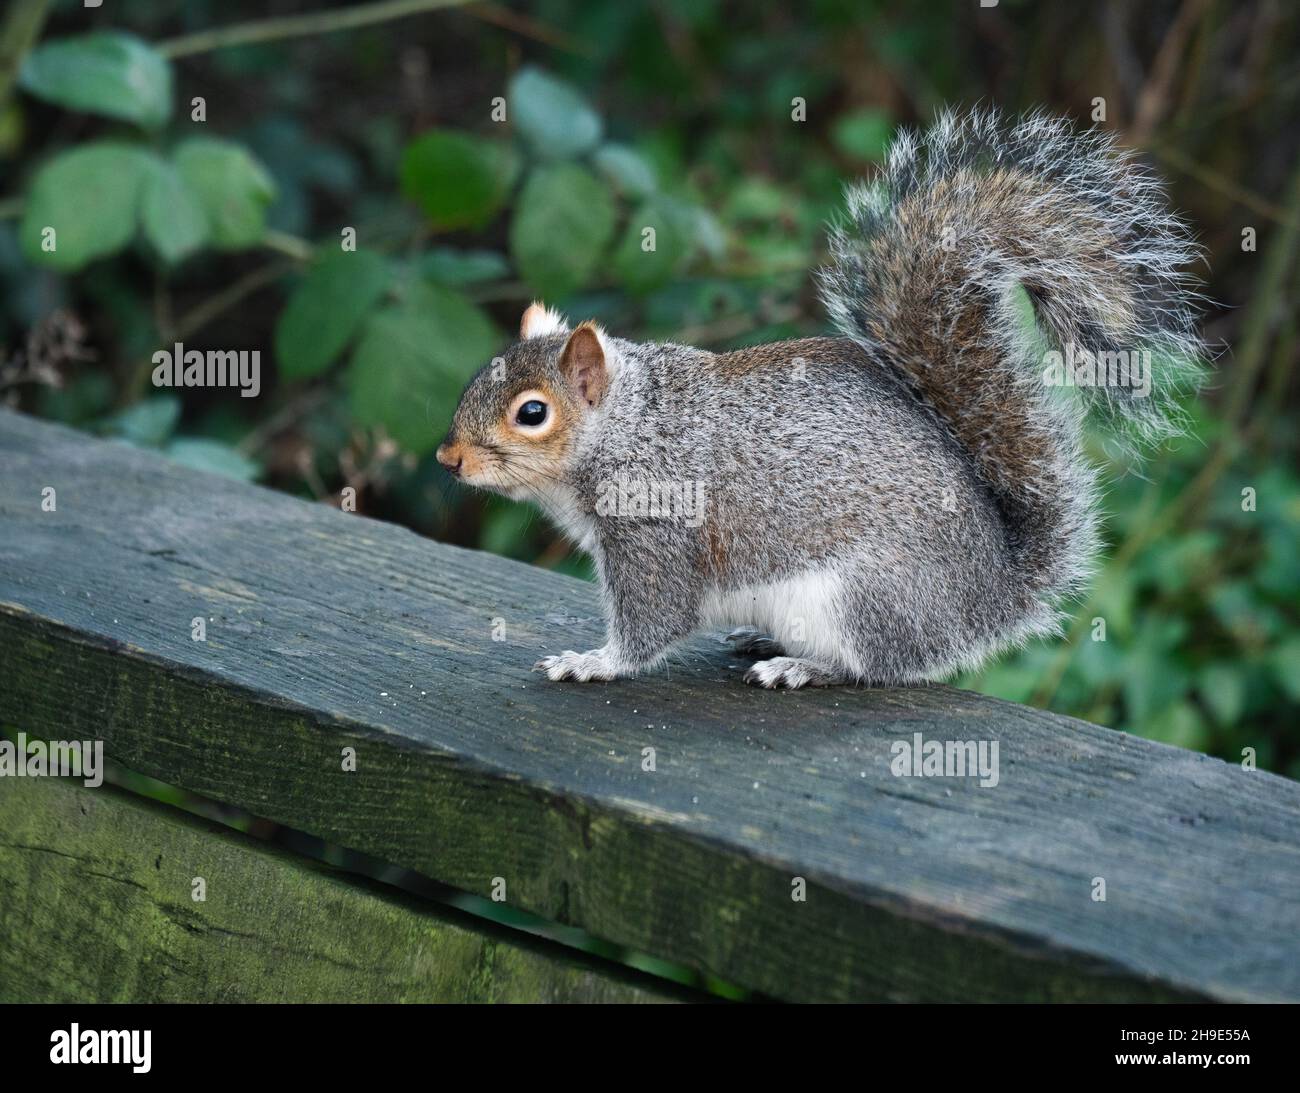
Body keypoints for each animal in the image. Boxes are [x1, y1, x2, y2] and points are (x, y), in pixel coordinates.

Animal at [436, 109, 1205, 689]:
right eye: (478, 378)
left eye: (532, 413)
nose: (449, 459)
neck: (628, 427)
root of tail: (987, 599)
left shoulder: (657, 529)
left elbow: (654, 621)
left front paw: (592, 662)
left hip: (857, 596)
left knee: (876, 667)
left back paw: (801, 667)